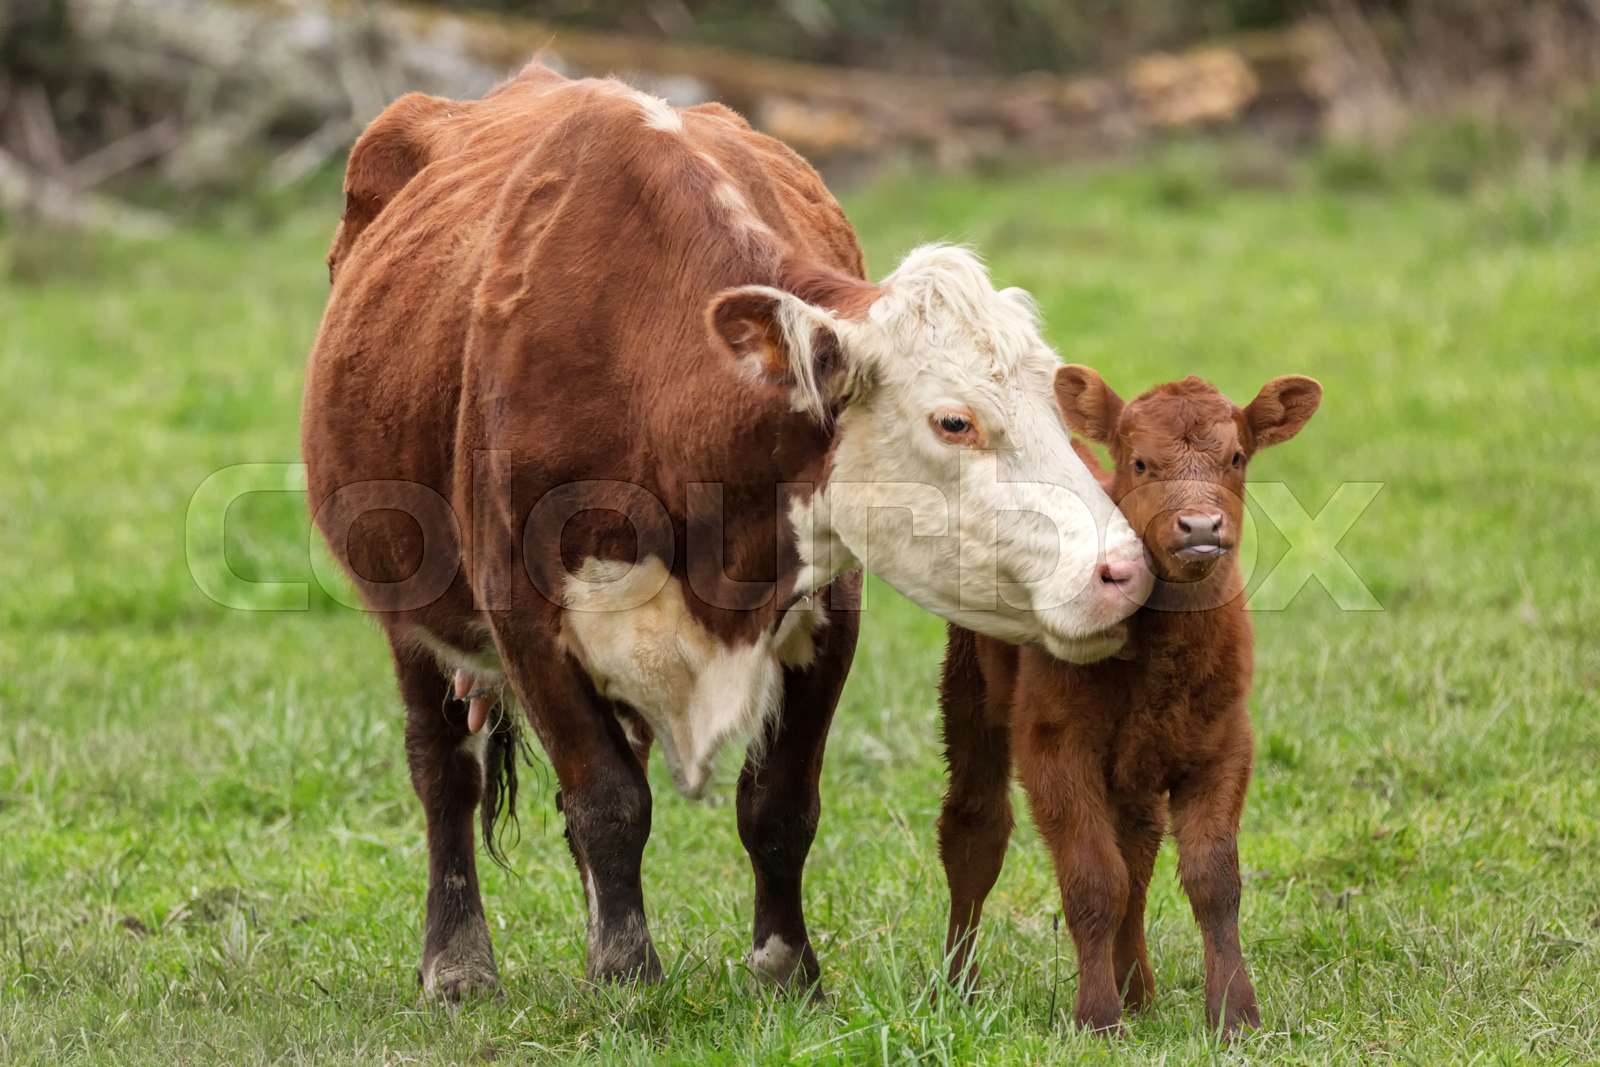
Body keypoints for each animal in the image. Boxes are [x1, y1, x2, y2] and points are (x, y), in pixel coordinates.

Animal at [301, 63, 1151, 1001]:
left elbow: (776, 803)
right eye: (953, 420)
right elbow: (607, 799)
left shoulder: (829, 606)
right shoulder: (523, 613)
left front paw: (784, 967)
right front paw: (628, 975)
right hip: (408, 602)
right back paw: (457, 961)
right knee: (444, 767)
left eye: (1055, 397)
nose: (1123, 568)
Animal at [936, 368, 1321, 1034]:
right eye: (1140, 462)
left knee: (1137, 854)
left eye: (1237, 457)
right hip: (969, 692)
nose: (1200, 528)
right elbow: (1093, 880)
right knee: (975, 831)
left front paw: (1234, 1014)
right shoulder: (1056, 745)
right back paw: (958, 988)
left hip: (1137, 763)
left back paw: (1138, 988)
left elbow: (1213, 880)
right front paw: (1096, 1017)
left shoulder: (1224, 744)